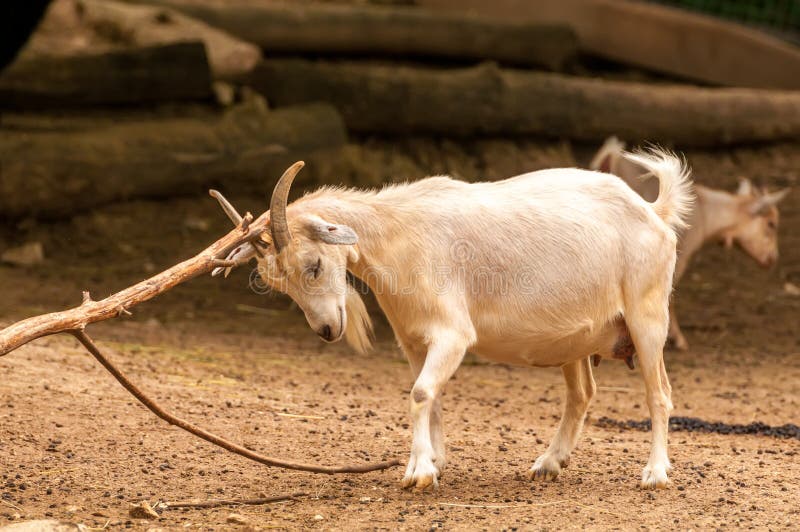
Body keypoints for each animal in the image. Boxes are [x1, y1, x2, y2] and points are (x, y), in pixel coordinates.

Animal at [216, 150, 693, 490]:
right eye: (277, 284)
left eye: (313, 265)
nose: (327, 330)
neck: (398, 232)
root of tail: (654, 212)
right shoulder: (413, 340)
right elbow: (429, 395)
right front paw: (433, 461)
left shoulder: (452, 334)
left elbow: (421, 392)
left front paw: (419, 474)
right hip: (576, 340)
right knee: (582, 394)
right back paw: (548, 463)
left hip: (647, 318)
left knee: (660, 394)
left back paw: (654, 474)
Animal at [590, 137, 790, 350]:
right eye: (771, 224)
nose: (772, 258)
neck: (706, 212)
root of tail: (610, 160)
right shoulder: (679, 254)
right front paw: (677, 339)